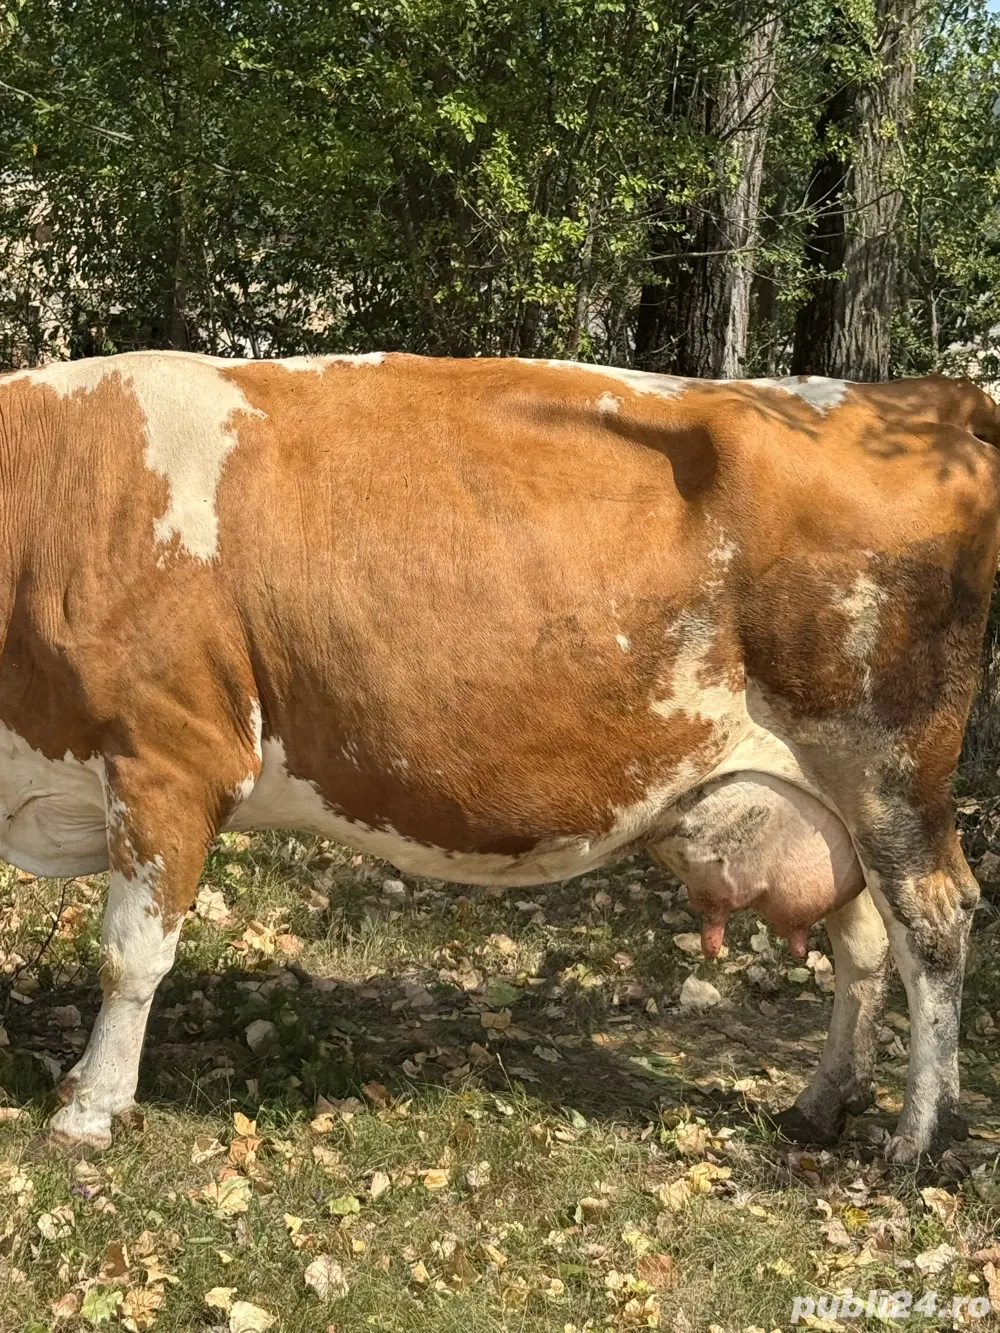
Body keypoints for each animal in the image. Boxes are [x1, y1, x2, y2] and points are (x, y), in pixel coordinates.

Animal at [0, 351, 997, 1162]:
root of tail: (919, 395)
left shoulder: (169, 752)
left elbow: (131, 954)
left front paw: (88, 1109)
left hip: (887, 765)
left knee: (932, 920)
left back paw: (921, 1136)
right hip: (829, 797)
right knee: (861, 936)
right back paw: (821, 1106)